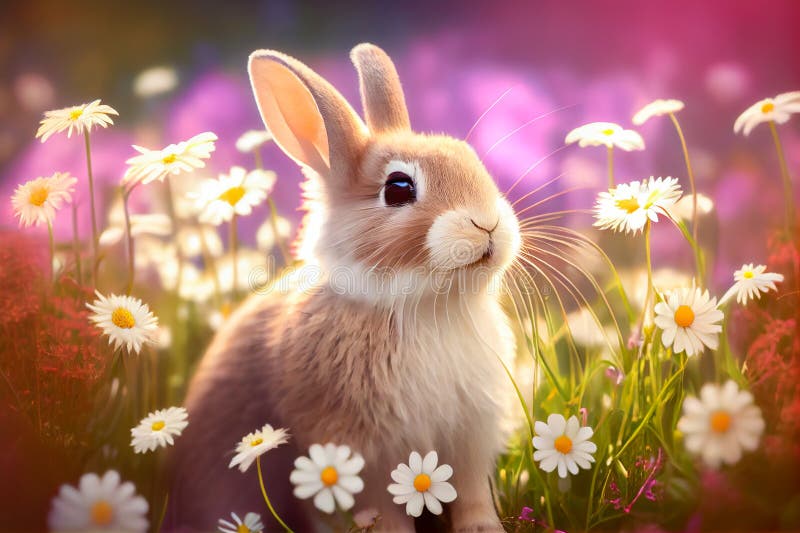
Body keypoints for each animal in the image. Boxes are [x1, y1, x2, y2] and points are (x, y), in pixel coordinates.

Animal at [167, 43, 521, 533]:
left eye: (471, 158)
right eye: (398, 188)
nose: (487, 224)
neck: (422, 306)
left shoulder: (470, 437)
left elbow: (472, 497)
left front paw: (485, 529)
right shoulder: (361, 452)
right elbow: (386, 512)